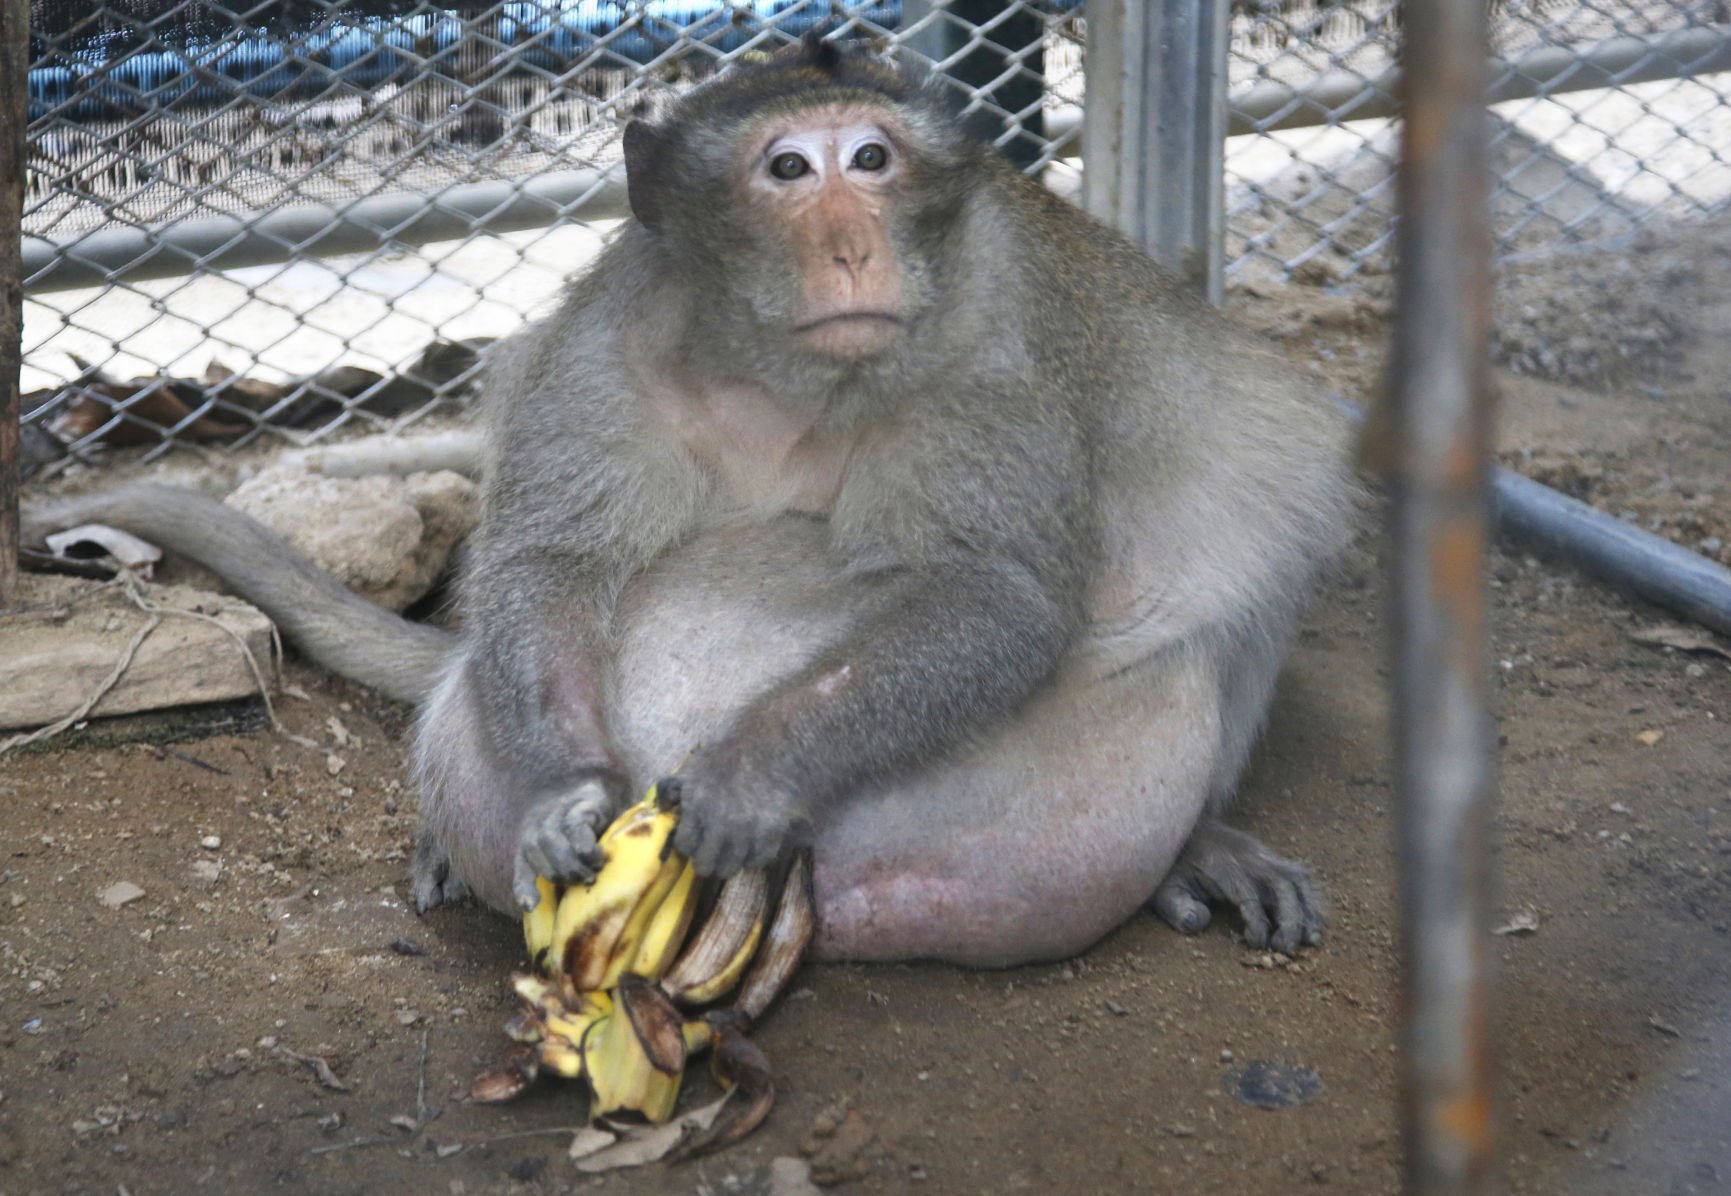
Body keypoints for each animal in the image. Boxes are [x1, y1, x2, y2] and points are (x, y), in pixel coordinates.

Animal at [22, 36, 1358, 967]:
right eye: (789, 168)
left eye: (873, 158)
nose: (852, 247)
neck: (784, 373)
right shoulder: (605, 351)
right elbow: (550, 564)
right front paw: (563, 796)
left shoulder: (991, 349)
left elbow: (1000, 593)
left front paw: (752, 772)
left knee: (1264, 489)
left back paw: (1197, 841)